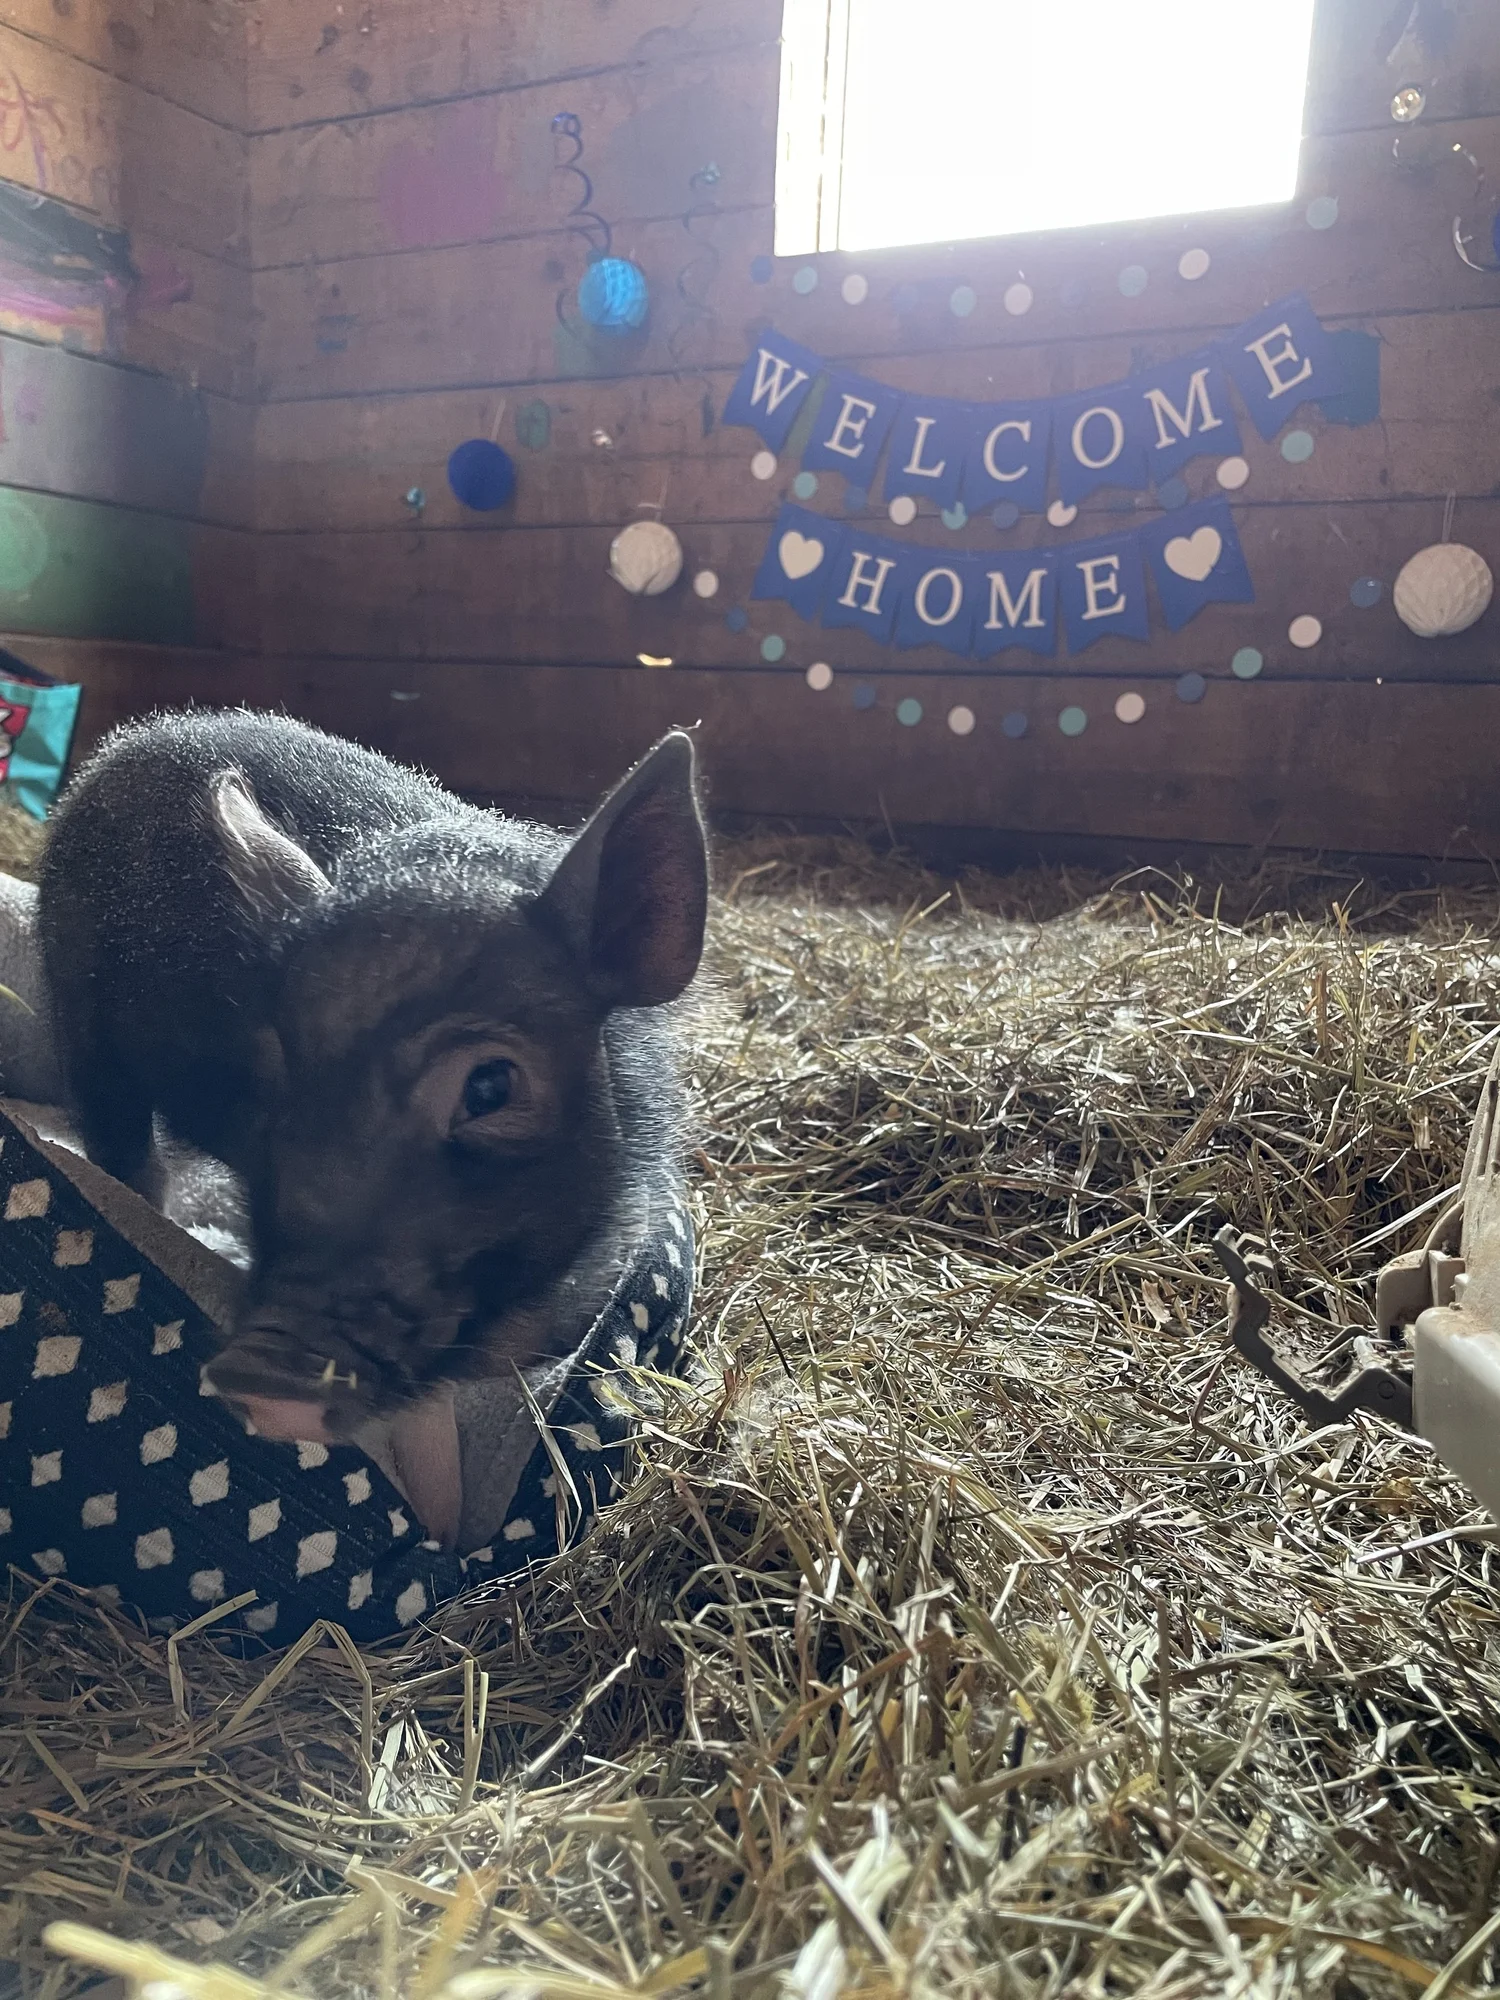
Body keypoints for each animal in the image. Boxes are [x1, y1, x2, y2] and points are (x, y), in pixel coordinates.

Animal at [37, 709, 708, 1530]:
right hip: (85, 1023)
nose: (259, 1370)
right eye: (272, 1073)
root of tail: (127, 742)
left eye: (491, 1086)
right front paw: (445, 1530)